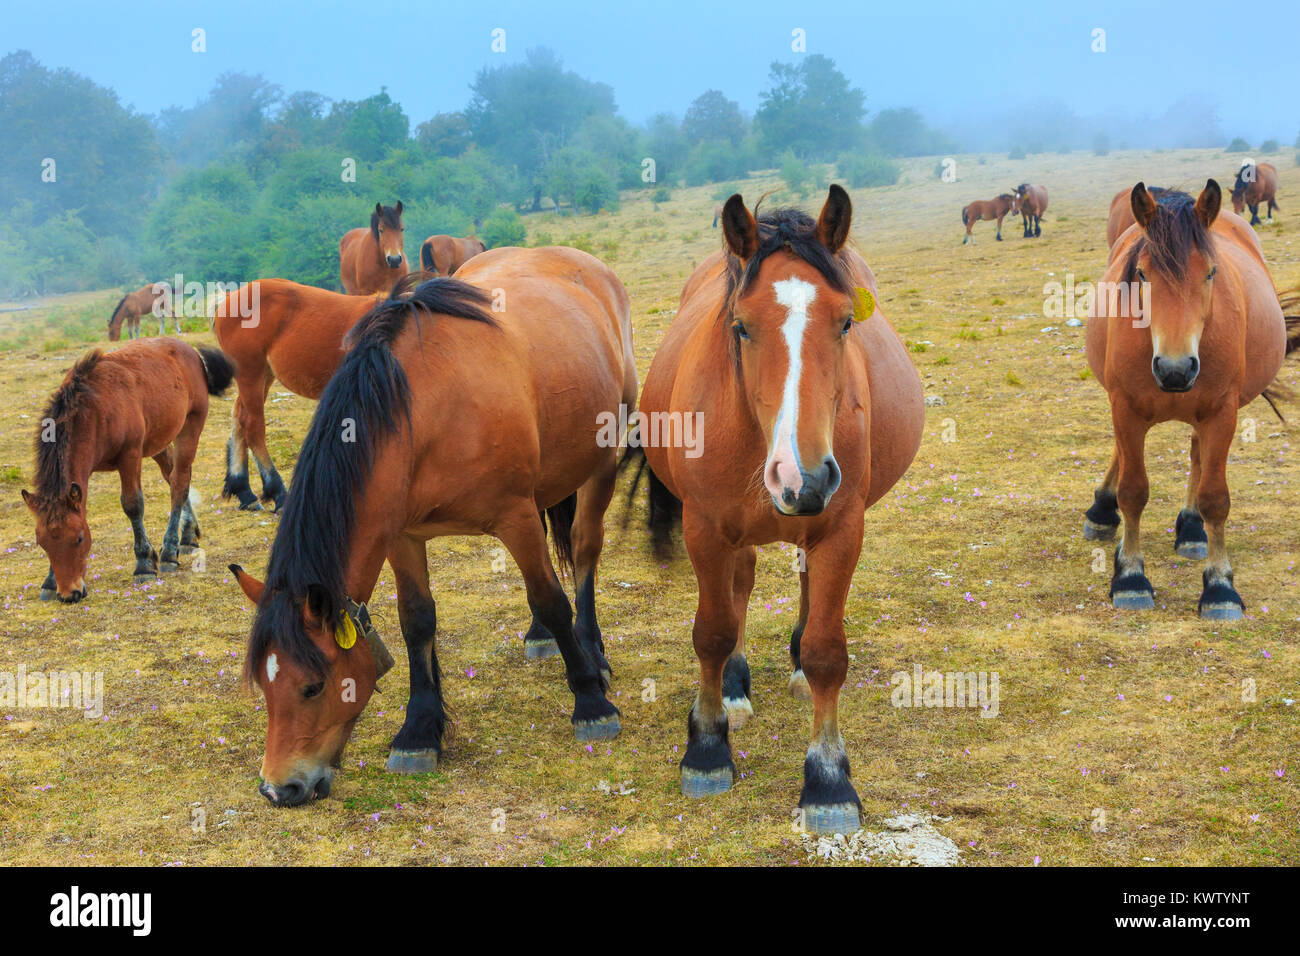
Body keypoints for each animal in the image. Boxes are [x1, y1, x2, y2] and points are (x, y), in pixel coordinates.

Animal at [21, 339, 234, 602]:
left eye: (79, 538)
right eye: (41, 542)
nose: (70, 594)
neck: (96, 408)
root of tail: (190, 351)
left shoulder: (130, 456)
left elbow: (133, 505)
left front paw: (144, 563)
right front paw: (50, 582)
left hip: (190, 428)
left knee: (179, 482)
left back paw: (170, 550)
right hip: (158, 441)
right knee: (172, 476)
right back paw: (187, 535)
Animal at [212, 279, 386, 512]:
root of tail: (227, 301)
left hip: (265, 375)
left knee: (239, 417)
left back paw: (244, 491)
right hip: (251, 373)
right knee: (252, 426)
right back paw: (278, 492)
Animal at [625, 185, 924, 834]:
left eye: (845, 322)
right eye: (740, 326)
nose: (801, 476)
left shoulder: (841, 529)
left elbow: (827, 653)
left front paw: (828, 780)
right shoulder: (705, 529)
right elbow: (712, 633)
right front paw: (707, 748)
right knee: (740, 587)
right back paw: (735, 686)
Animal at [1084, 181, 1299, 619]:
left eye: (1211, 272)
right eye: (1142, 274)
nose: (1175, 369)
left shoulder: (1221, 412)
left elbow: (1215, 498)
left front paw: (1219, 586)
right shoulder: (1125, 408)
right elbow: (1133, 490)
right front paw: (1130, 577)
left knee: (1199, 455)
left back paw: (1192, 527)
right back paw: (1102, 511)